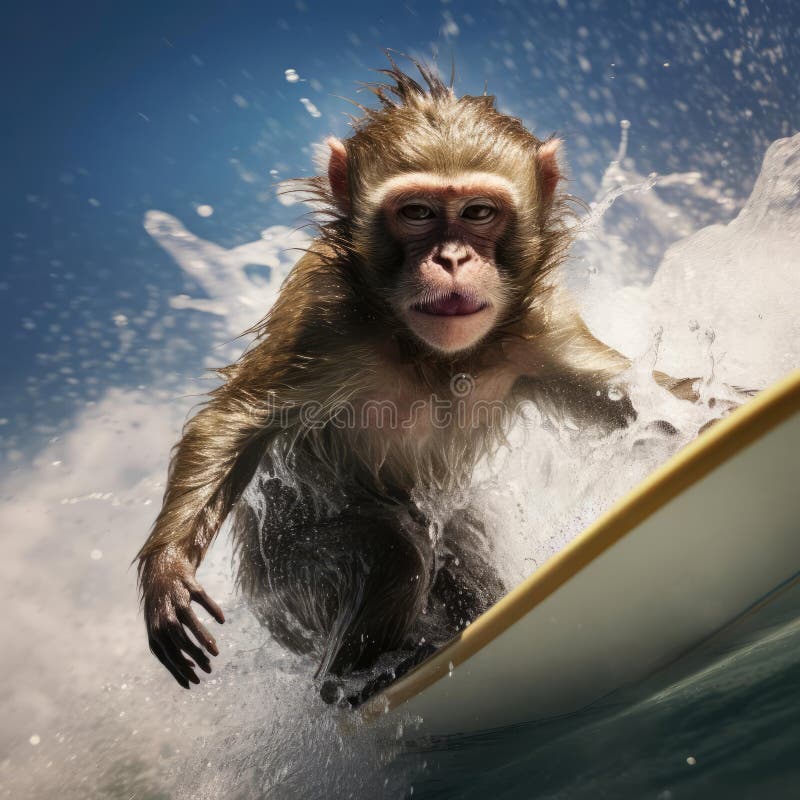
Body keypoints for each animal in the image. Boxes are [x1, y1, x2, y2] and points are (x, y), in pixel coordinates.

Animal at [136, 56, 702, 692]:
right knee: (396, 553)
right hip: (279, 581)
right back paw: (357, 679)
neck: (432, 357)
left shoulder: (536, 329)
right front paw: (166, 572)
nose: (451, 259)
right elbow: (234, 420)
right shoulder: (325, 322)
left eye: (478, 212)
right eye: (417, 213)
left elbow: (632, 400)